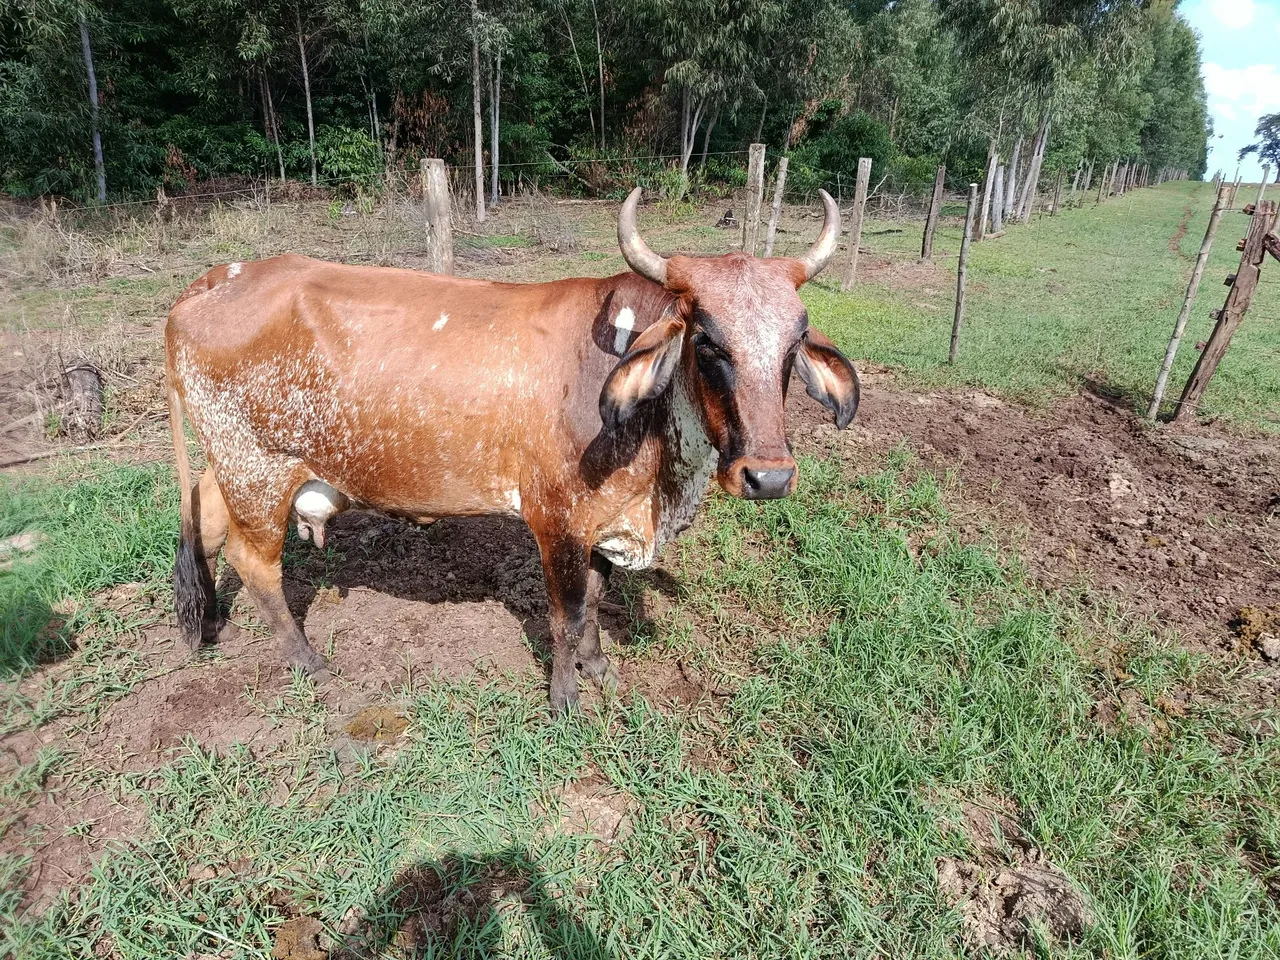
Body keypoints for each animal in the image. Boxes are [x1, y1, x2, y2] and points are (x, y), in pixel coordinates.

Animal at [166, 188, 859, 714]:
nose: (768, 476)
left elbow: (598, 599)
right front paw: (565, 696)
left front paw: (597, 668)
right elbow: (569, 613)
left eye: (795, 341)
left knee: (204, 522)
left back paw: (208, 625)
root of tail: (212, 279)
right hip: (257, 469)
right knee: (256, 565)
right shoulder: (557, 519)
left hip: (233, 469)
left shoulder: (601, 522)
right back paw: (304, 658)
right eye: (709, 340)